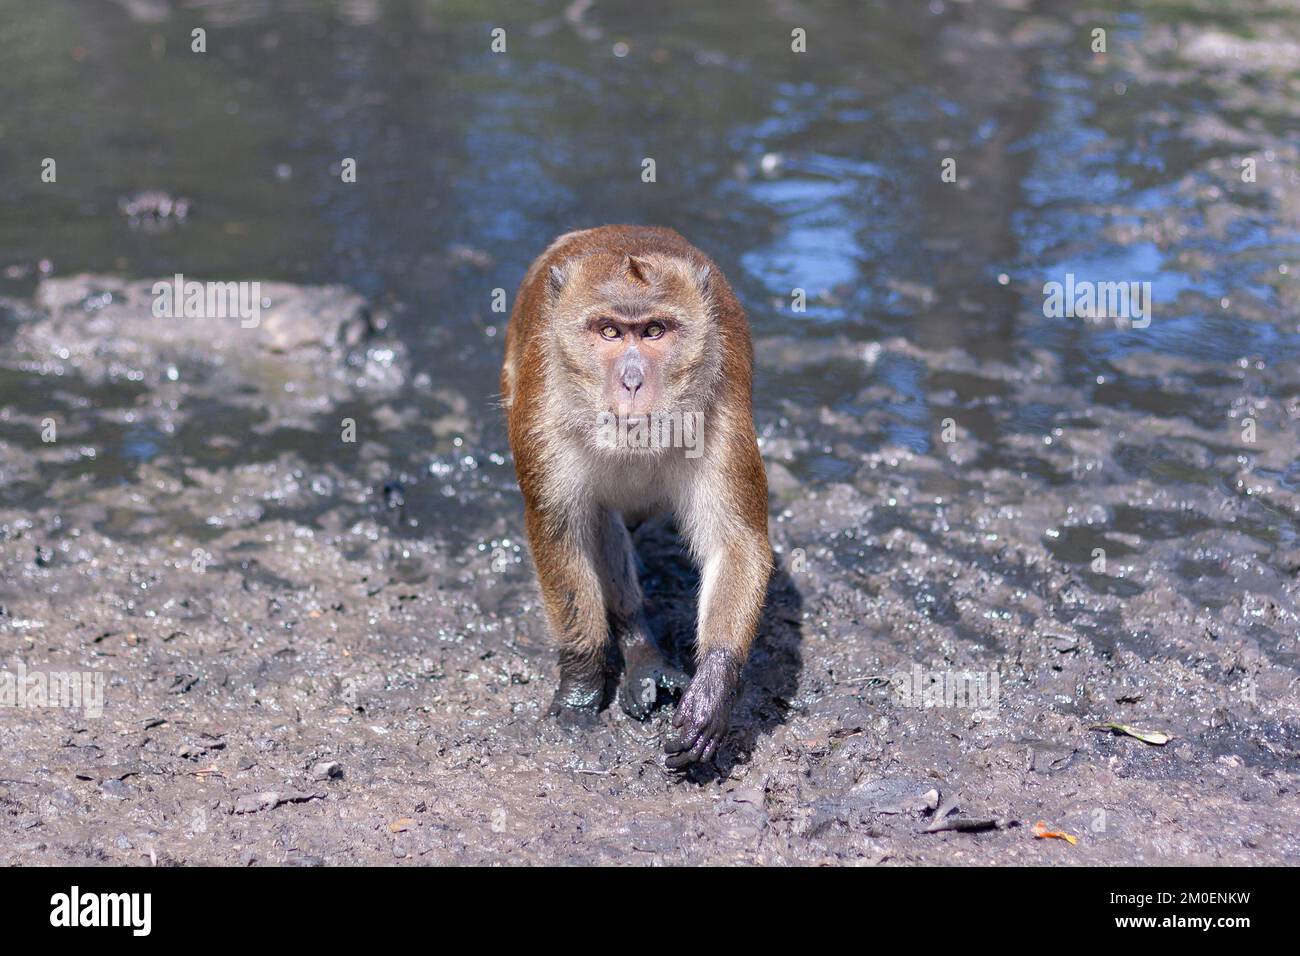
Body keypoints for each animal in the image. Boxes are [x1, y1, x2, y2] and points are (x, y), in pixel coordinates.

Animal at [500, 225, 772, 768]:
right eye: (609, 332)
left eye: (653, 332)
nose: (631, 380)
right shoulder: (542, 408)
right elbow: (559, 530)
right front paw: (581, 684)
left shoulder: (722, 404)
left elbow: (736, 542)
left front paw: (713, 689)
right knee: (598, 517)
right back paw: (635, 640)